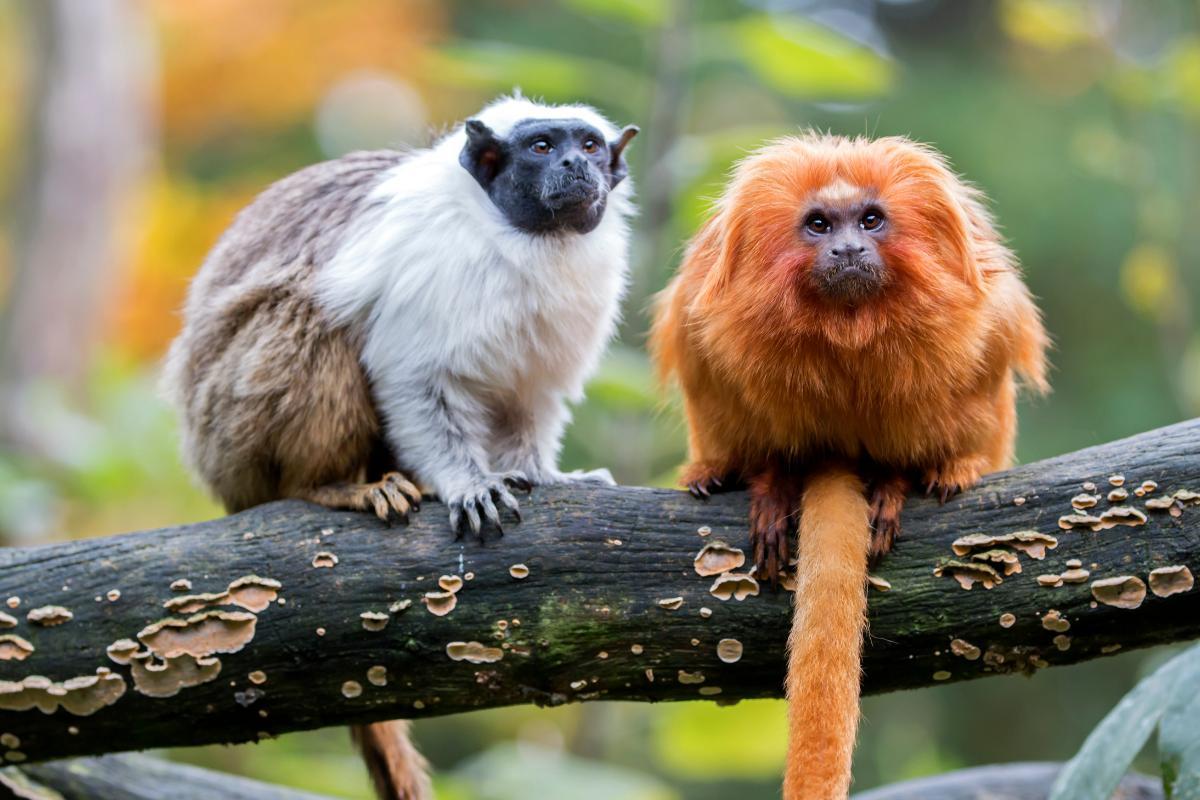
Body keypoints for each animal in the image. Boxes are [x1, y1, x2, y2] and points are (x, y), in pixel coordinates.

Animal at [163, 95, 638, 800]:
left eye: (588, 146)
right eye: (542, 148)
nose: (577, 167)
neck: (528, 242)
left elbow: (529, 402)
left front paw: (545, 475)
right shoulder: (432, 263)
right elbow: (411, 378)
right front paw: (466, 483)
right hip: (229, 430)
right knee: (314, 308)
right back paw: (333, 487)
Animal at [650, 133, 1048, 799]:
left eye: (869, 221)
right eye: (819, 225)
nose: (848, 249)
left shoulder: (980, 308)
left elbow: (993, 325)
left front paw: (900, 478)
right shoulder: (709, 306)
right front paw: (770, 481)